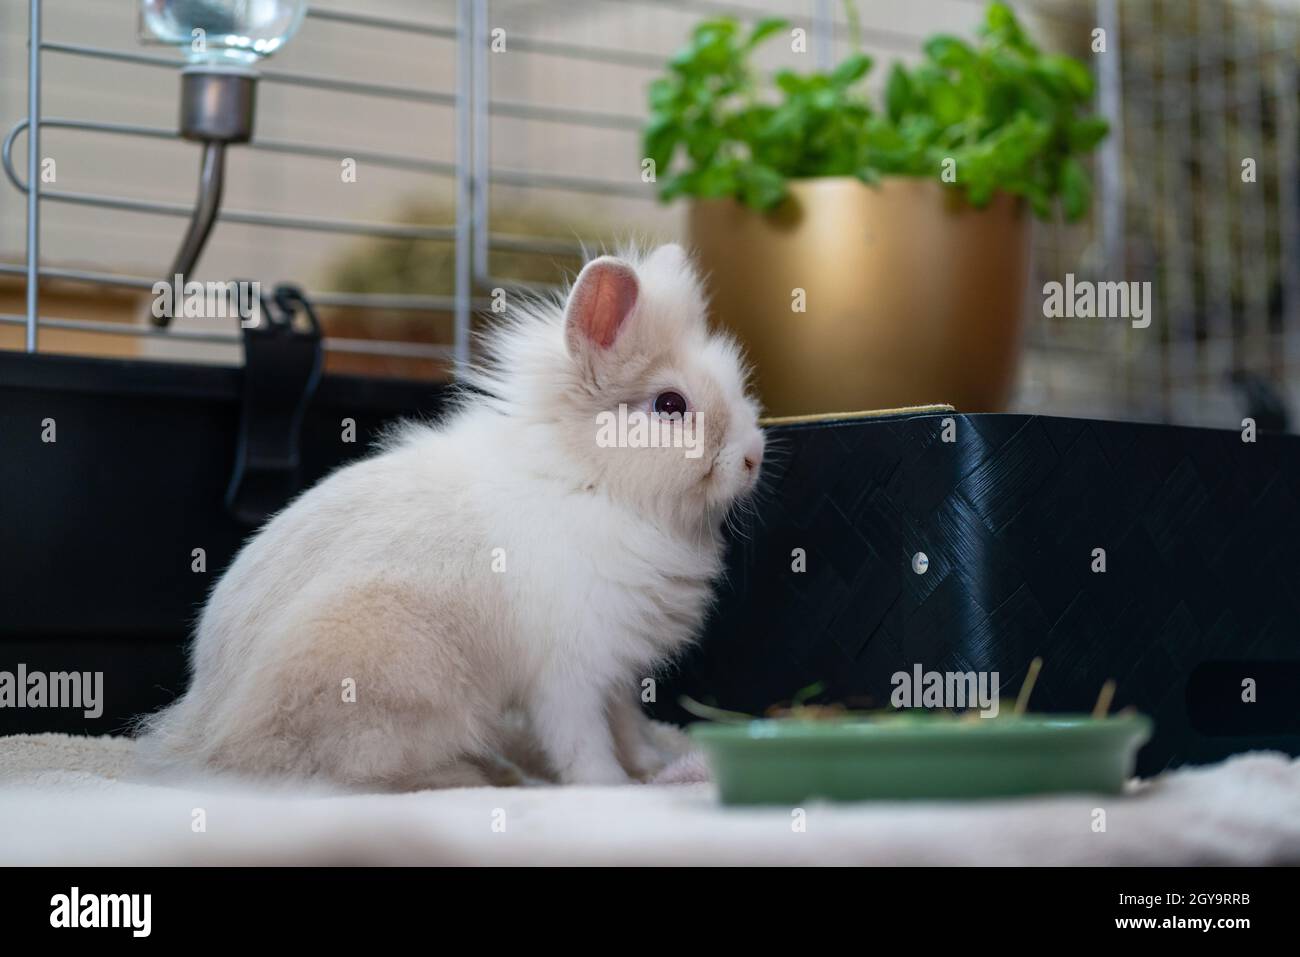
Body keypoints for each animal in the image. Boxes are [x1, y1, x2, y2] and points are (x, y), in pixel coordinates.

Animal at [137, 243, 765, 790]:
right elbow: (582, 741)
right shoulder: (568, 673)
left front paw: (651, 767)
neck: (594, 481)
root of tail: (212, 742)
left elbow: (628, 724)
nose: (753, 458)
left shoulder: (619, 671)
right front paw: (608, 788)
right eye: (669, 405)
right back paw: (478, 777)